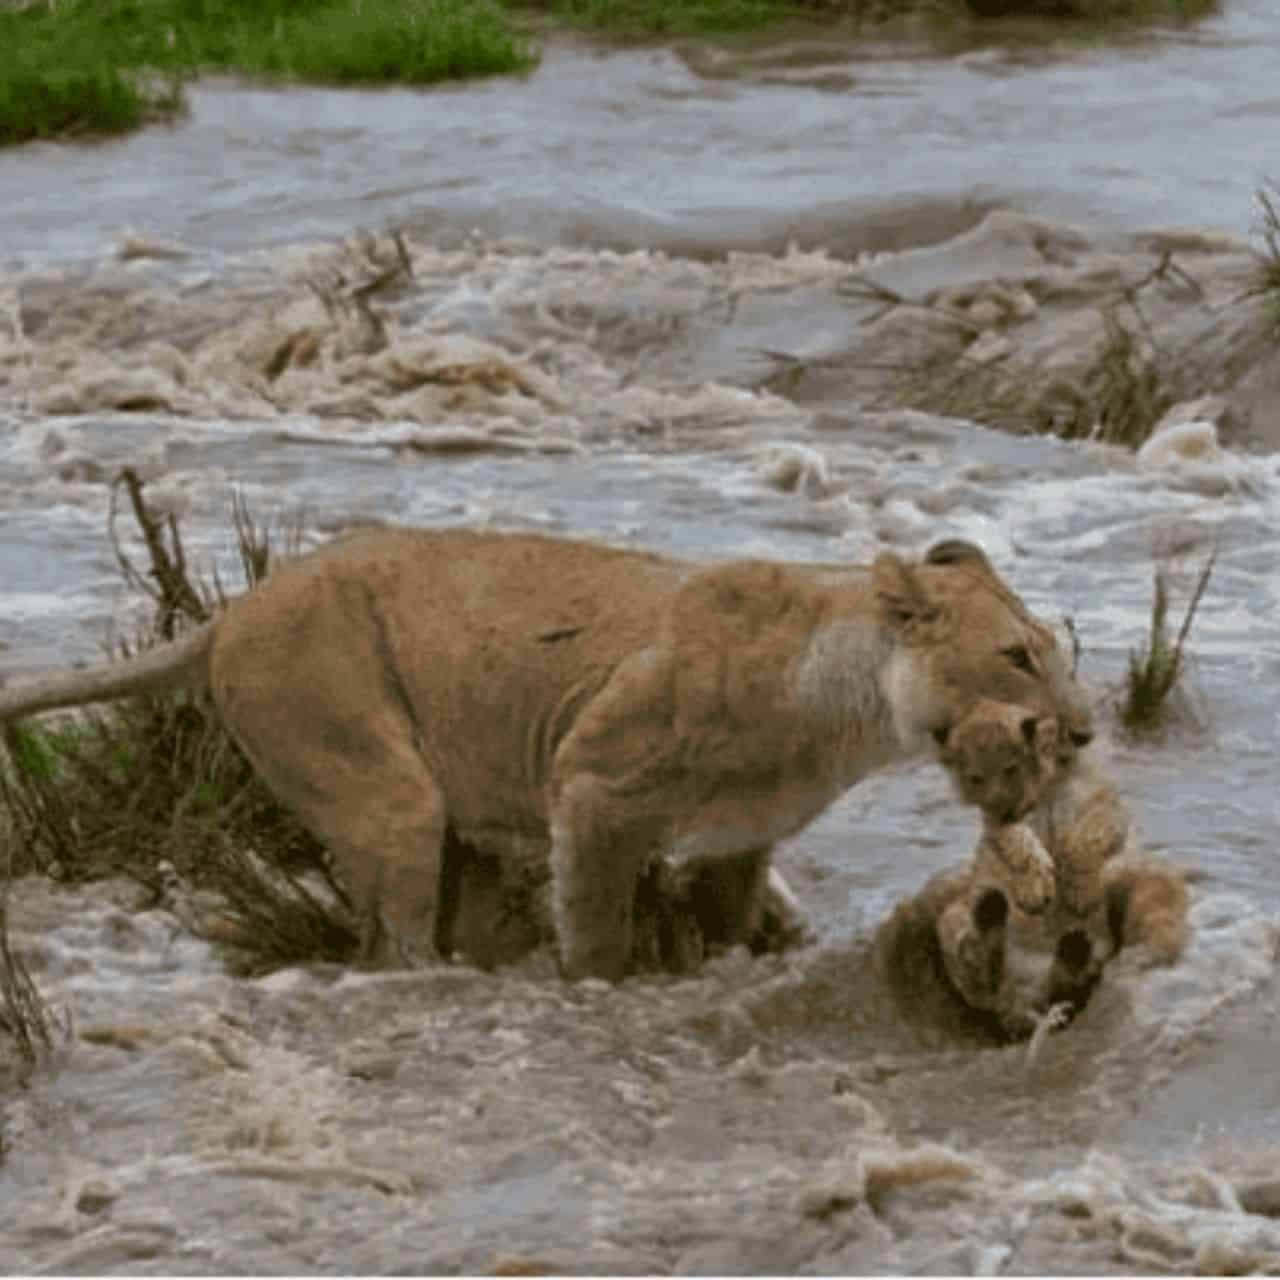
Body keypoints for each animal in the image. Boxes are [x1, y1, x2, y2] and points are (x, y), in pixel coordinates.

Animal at [0, 528, 1092, 981]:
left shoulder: (737, 841)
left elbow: (730, 921)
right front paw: (601, 989)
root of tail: (229, 615)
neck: (845, 710)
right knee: (390, 941)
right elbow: (598, 931)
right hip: (376, 777)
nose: (1083, 734)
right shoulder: (594, 785)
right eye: (1015, 654)